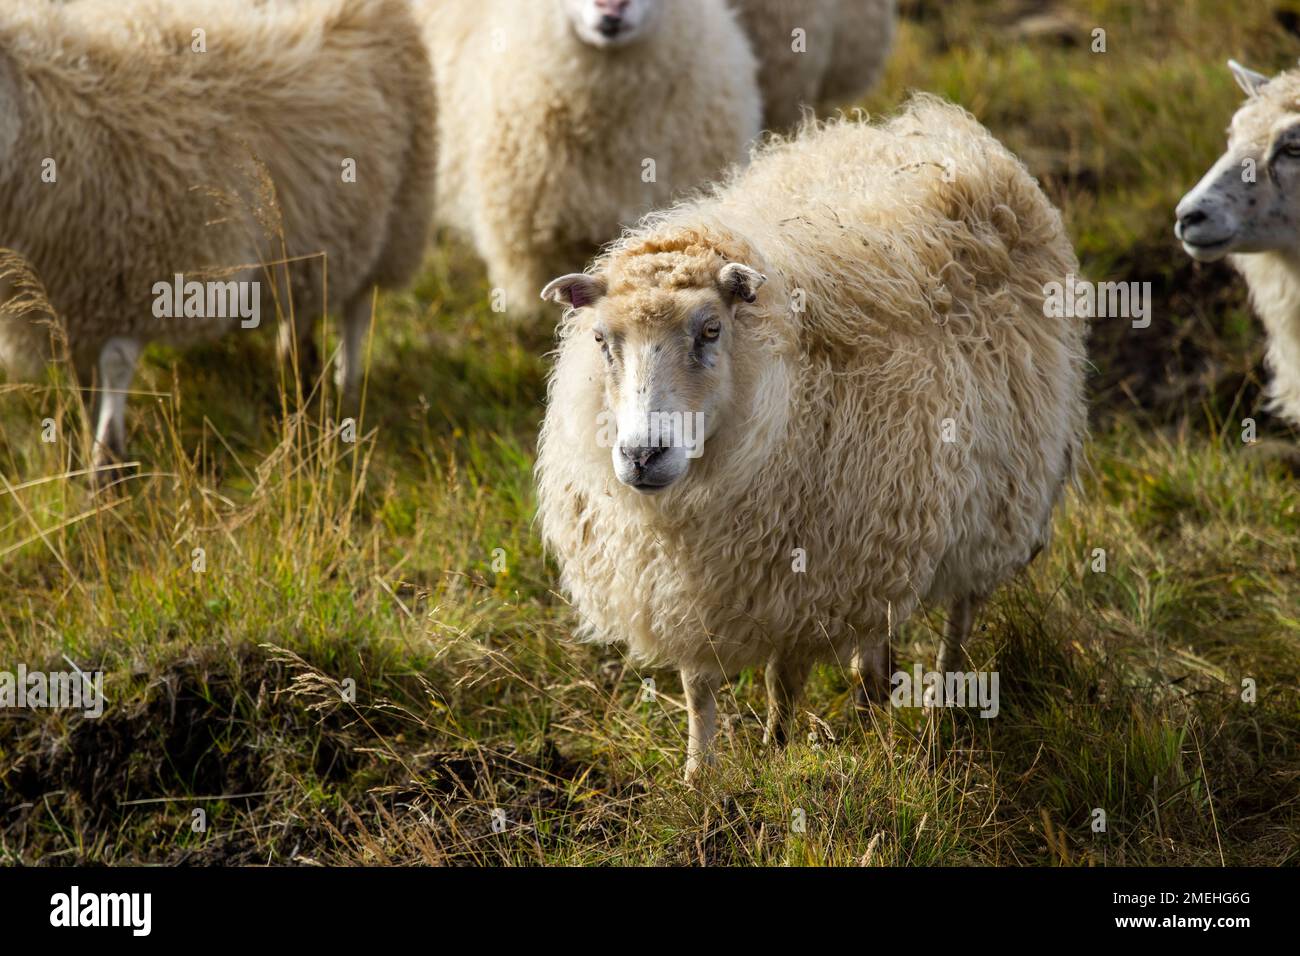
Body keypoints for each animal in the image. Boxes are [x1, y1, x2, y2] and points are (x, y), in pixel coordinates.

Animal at [0, 0, 435, 476]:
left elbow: (115, 364)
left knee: (357, 310)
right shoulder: (71, 294)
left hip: (395, 222)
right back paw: (296, 360)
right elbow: (82, 375)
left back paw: (347, 384)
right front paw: (85, 439)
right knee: (302, 302)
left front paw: (106, 461)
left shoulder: (149, 267)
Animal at [536, 95, 1087, 778]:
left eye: (711, 330)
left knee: (959, 617)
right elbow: (698, 689)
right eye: (600, 340)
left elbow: (782, 681)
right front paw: (698, 777)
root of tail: (929, 124)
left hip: (992, 505)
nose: (642, 454)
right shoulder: (691, 587)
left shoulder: (803, 578)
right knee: (881, 633)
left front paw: (775, 754)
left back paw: (942, 713)